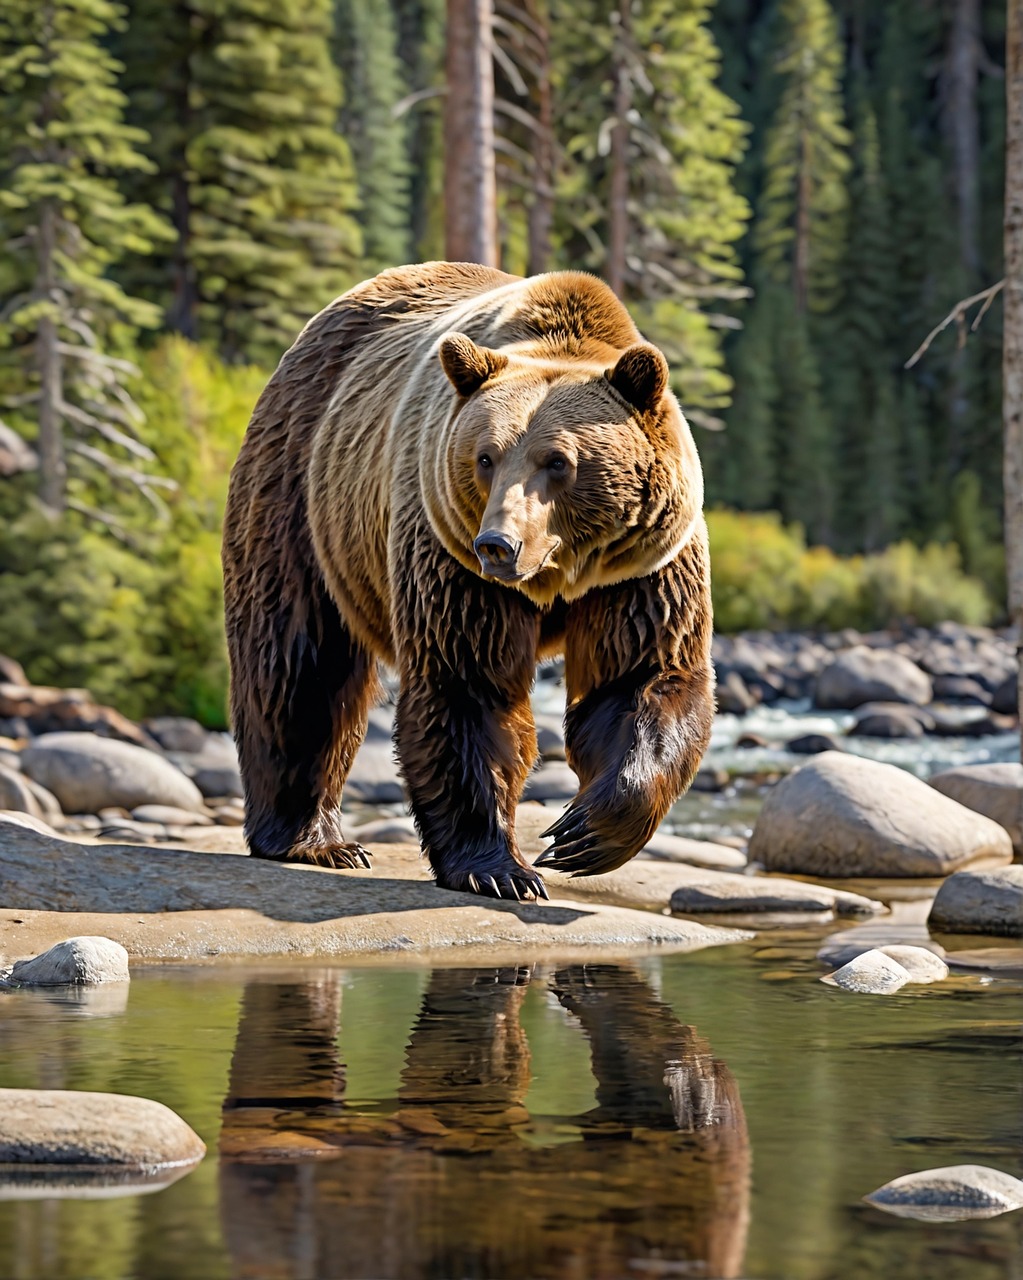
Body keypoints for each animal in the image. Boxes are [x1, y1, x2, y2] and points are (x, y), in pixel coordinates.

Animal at [221, 262, 714, 901]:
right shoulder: (451, 554)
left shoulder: (641, 567)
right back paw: (313, 839)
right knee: (298, 663)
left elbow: (637, 679)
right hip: (303, 496)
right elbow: (468, 684)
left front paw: (582, 834)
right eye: (485, 456)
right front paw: (499, 870)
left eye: (559, 461)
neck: (560, 572)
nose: (498, 544)